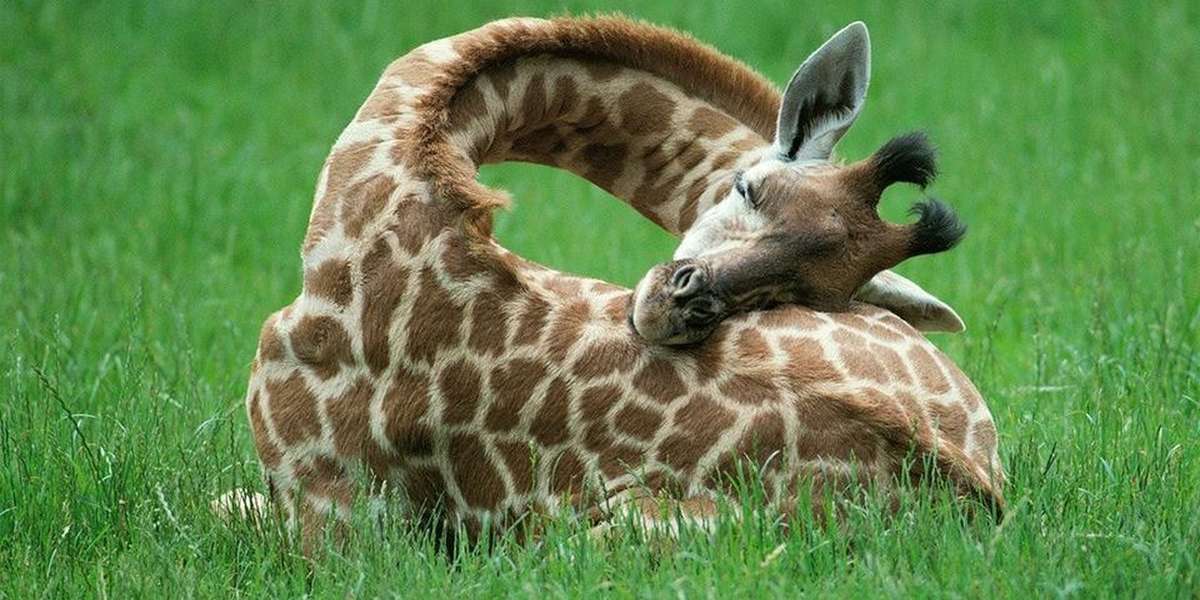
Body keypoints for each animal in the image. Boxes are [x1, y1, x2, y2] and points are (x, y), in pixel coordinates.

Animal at [223, 17, 1005, 552]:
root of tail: (978, 496)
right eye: (747, 188)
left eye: (815, 286)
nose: (682, 306)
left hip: (600, 535)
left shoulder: (330, 512)